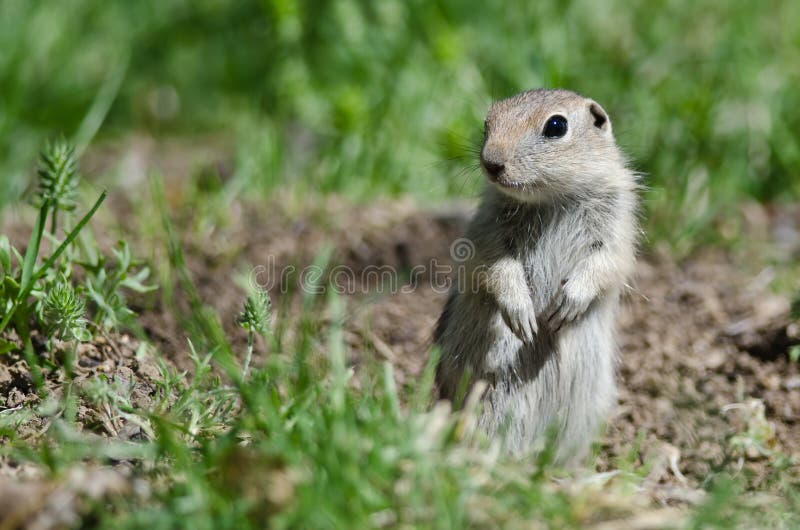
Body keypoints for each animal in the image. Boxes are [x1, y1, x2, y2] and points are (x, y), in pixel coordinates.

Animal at [433, 89, 638, 462]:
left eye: (556, 126)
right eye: (488, 122)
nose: (491, 163)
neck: (553, 198)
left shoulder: (617, 222)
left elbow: (605, 262)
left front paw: (566, 306)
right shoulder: (488, 231)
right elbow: (497, 266)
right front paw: (524, 319)